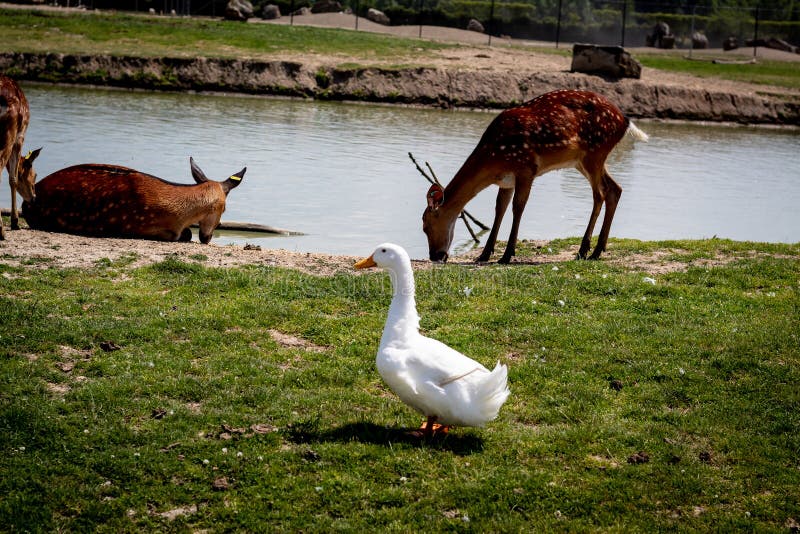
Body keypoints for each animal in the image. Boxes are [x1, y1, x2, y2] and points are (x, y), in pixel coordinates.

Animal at [422, 89, 649, 263]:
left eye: (425, 225)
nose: (435, 256)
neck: (494, 157)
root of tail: (625, 120)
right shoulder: (506, 180)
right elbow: (499, 209)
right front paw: (484, 255)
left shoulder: (526, 168)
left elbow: (518, 207)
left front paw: (507, 255)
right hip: (583, 161)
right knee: (615, 189)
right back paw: (598, 250)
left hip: (595, 152)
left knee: (599, 194)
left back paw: (584, 250)